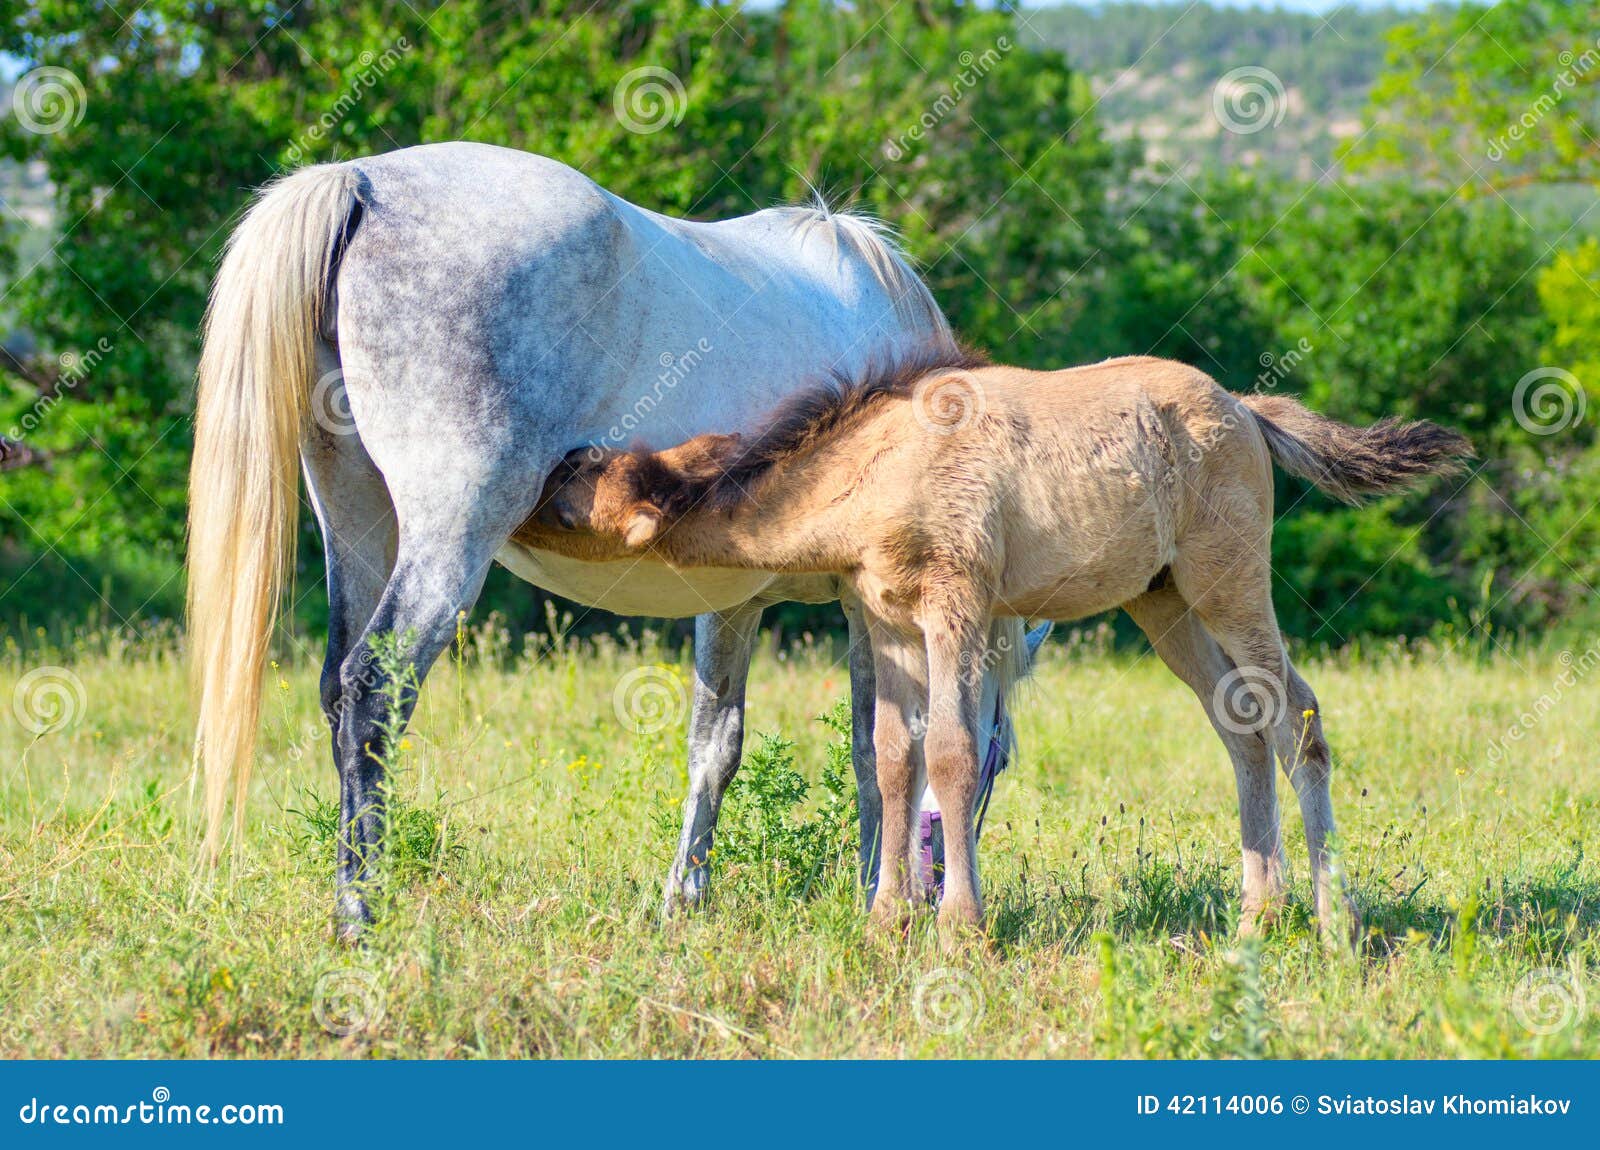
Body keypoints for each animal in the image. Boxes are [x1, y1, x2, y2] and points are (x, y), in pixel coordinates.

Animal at [186, 142, 1033, 940]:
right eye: (999, 754)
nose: (940, 884)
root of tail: (362, 183)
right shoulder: (866, 603)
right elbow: (880, 745)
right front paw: (873, 899)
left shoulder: (733, 600)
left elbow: (716, 744)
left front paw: (684, 900)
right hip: (449, 536)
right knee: (374, 688)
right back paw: (361, 910)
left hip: (357, 520)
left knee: (339, 692)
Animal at [525, 346, 1474, 945]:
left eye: (578, 490)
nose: (547, 464)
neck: (883, 469)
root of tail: (1247, 407)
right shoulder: (887, 621)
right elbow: (891, 756)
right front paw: (886, 921)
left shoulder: (957, 606)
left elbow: (950, 752)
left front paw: (960, 929)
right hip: (1163, 601)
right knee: (1240, 723)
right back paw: (1258, 916)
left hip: (1226, 579)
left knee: (1295, 715)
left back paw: (1336, 921)